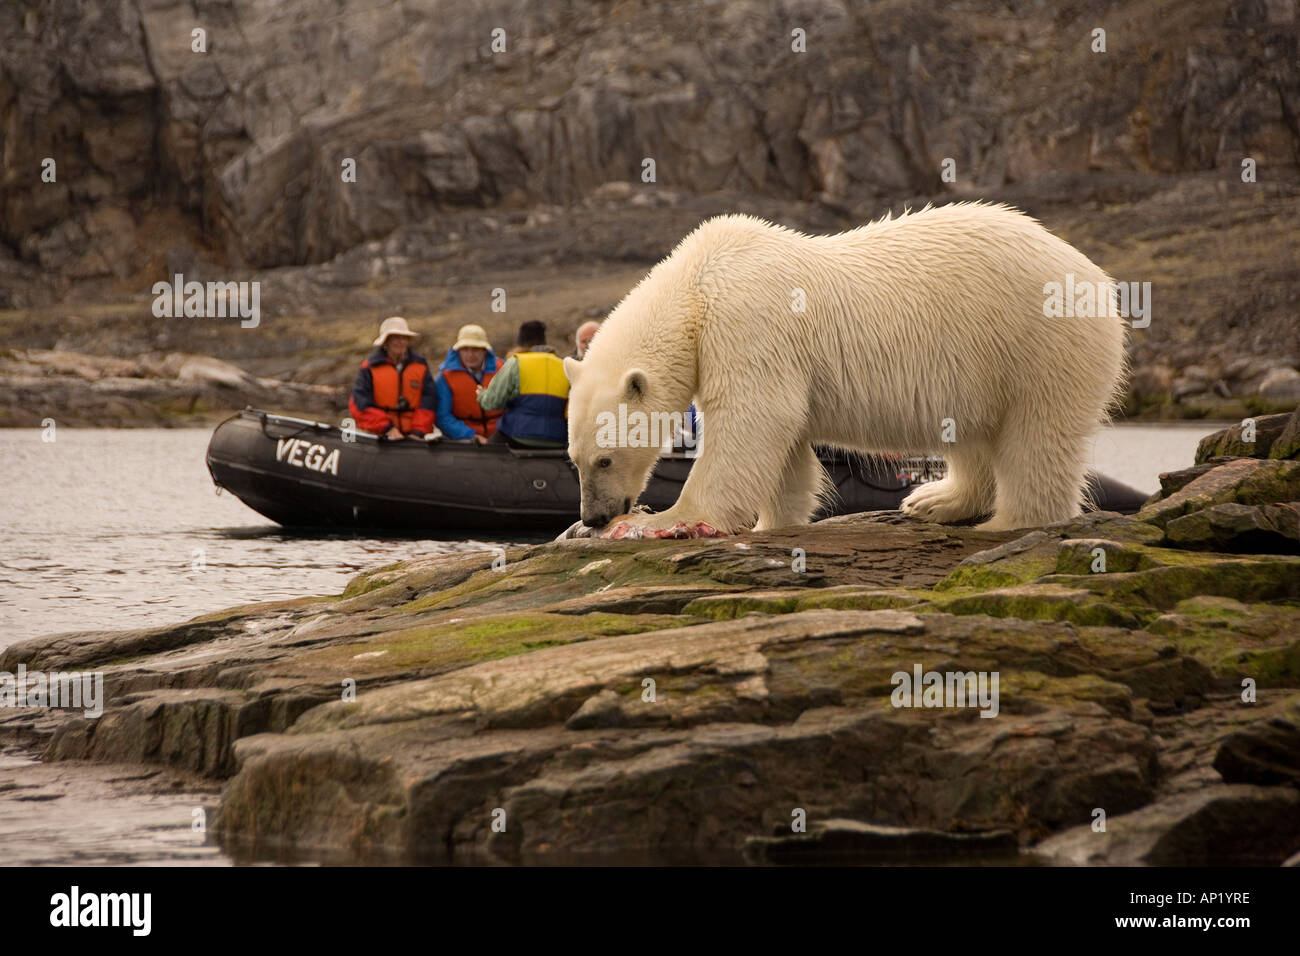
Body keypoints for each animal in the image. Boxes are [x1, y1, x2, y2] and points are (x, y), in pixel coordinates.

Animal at [563, 202, 1127, 535]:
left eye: (605, 460)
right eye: (574, 459)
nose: (594, 517)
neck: (698, 285)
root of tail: (1097, 277)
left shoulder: (747, 324)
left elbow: (753, 420)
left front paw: (673, 519)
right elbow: (785, 446)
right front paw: (774, 524)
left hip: (1037, 343)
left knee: (1037, 435)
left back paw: (1005, 523)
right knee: (972, 431)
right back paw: (935, 500)